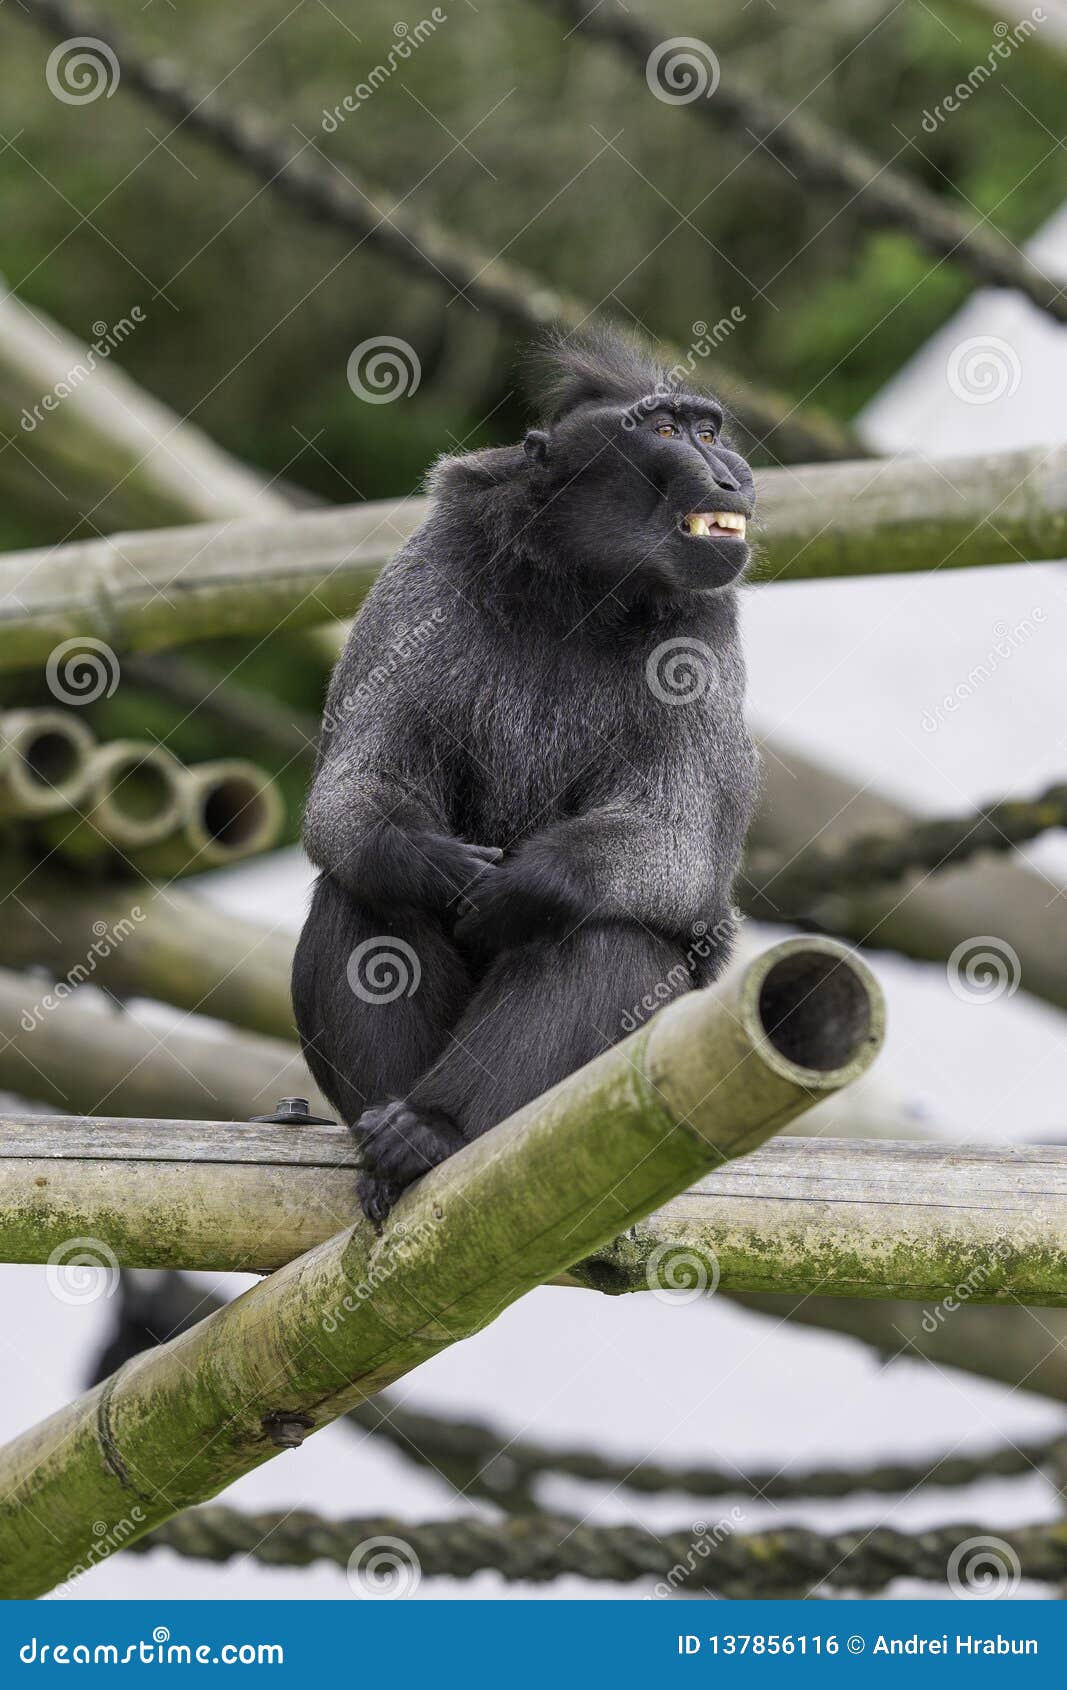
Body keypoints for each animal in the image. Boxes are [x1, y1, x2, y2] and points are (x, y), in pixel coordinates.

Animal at [291, 329, 759, 1223]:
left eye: (711, 431)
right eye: (670, 432)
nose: (735, 473)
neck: (578, 595)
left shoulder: (705, 640)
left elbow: (681, 863)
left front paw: (525, 885)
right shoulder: (424, 579)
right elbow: (351, 796)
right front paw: (430, 862)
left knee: (605, 931)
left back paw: (435, 1131)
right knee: (361, 889)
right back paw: (393, 1139)